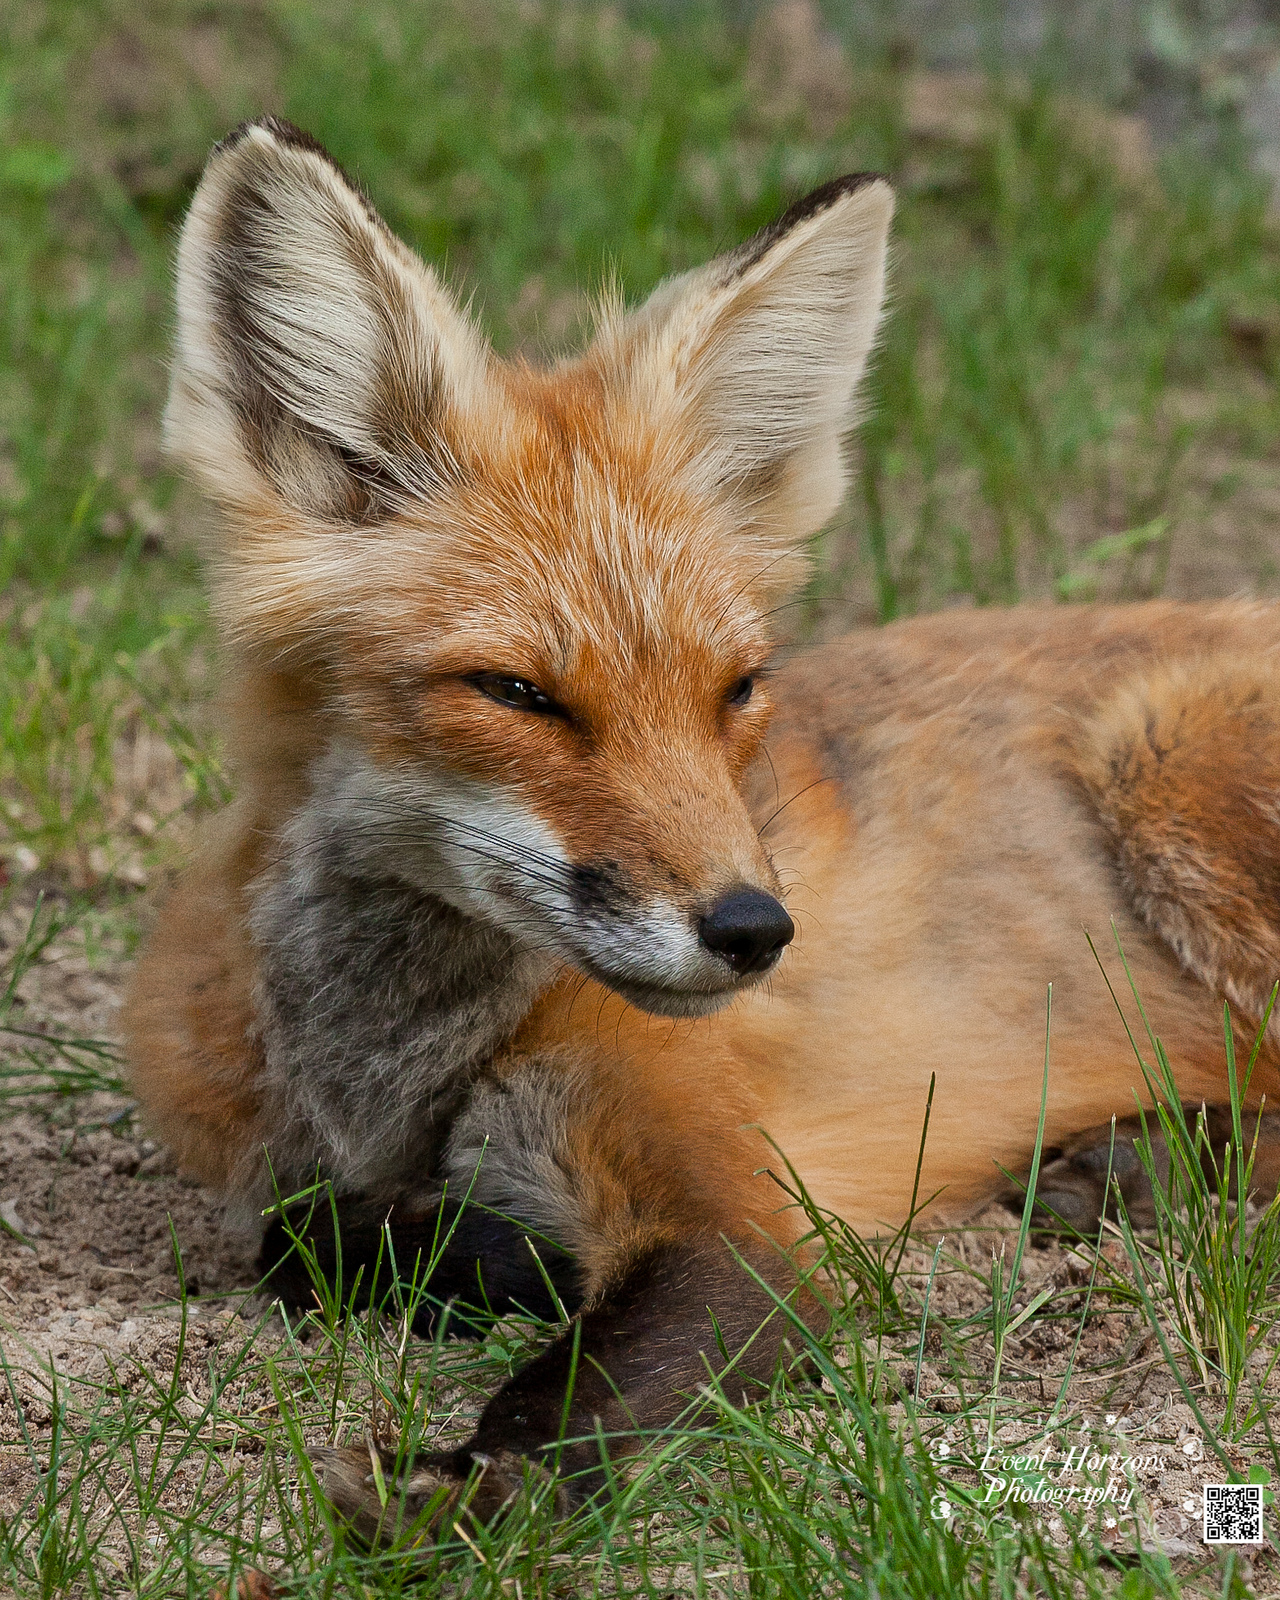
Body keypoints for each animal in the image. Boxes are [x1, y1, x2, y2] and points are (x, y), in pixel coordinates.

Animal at [126, 116, 1280, 1537]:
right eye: (519, 694)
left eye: (734, 687)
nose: (753, 931)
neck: (381, 1080)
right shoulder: (261, 1167)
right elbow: (293, 1233)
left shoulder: (743, 1226)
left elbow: (571, 1395)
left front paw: (463, 1498)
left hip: (1167, 776)